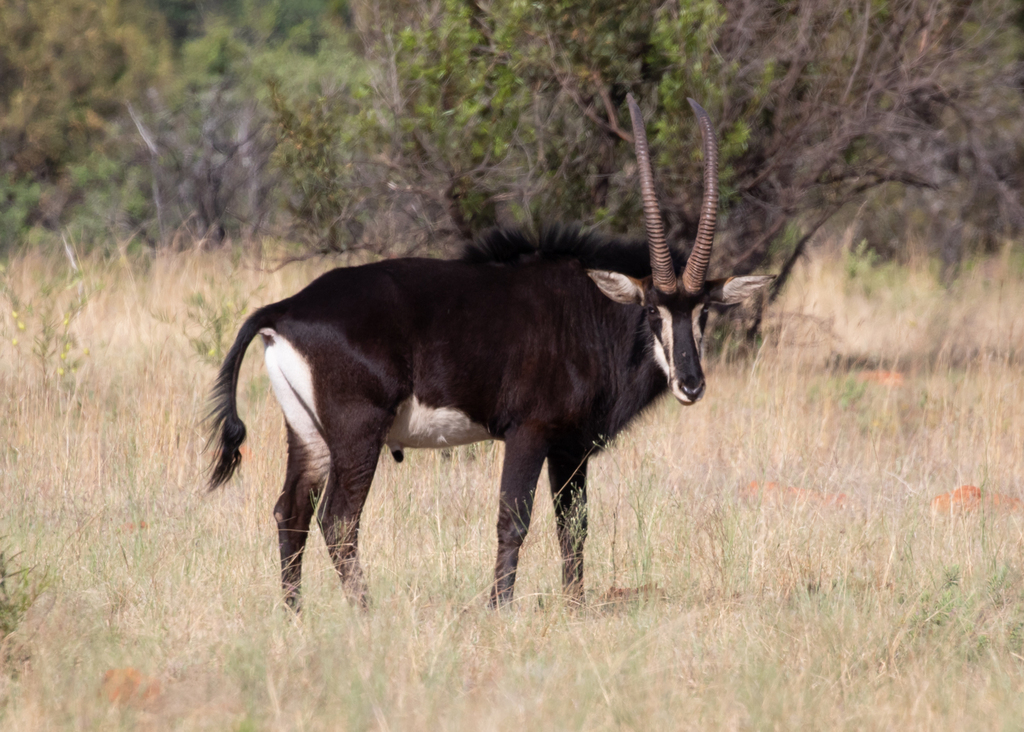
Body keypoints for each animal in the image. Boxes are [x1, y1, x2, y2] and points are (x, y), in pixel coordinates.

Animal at [207, 96, 773, 609]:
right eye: (653, 309)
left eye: (703, 311)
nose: (691, 383)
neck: (591, 310)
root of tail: (283, 309)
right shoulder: (529, 432)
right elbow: (513, 520)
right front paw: (500, 608)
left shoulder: (570, 448)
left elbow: (574, 526)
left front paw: (574, 608)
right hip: (356, 432)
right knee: (339, 520)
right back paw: (364, 612)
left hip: (307, 433)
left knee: (291, 513)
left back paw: (295, 614)